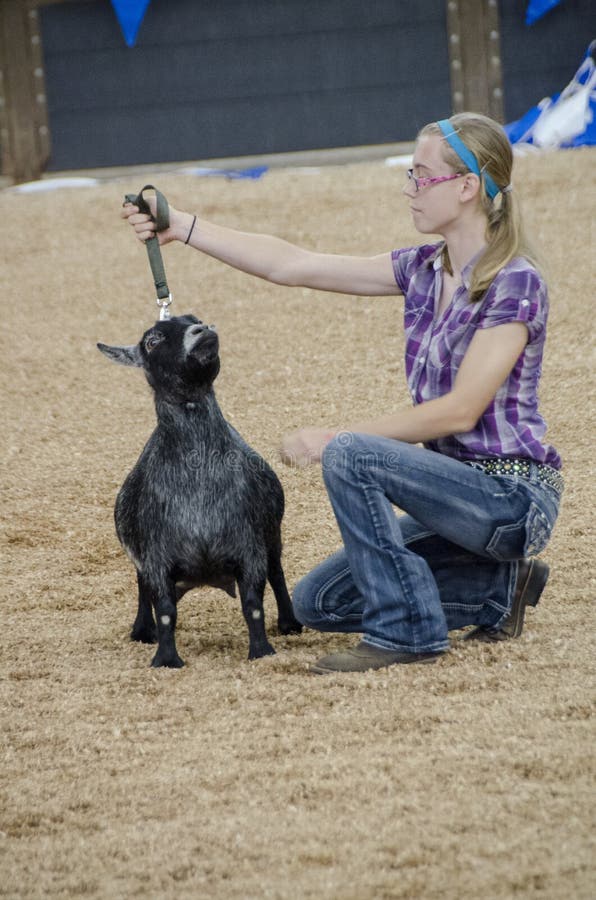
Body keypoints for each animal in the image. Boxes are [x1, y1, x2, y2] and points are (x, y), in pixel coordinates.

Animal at [97, 314, 302, 667]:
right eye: (153, 340)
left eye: (196, 319)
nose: (202, 331)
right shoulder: (156, 558)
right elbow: (165, 610)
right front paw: (166, 659)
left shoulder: (250, 548)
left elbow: (253, 605)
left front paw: (261, 651)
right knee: (141, 586)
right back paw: (142, 630)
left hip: (272, 536)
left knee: (277, 572)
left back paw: (290, 623)